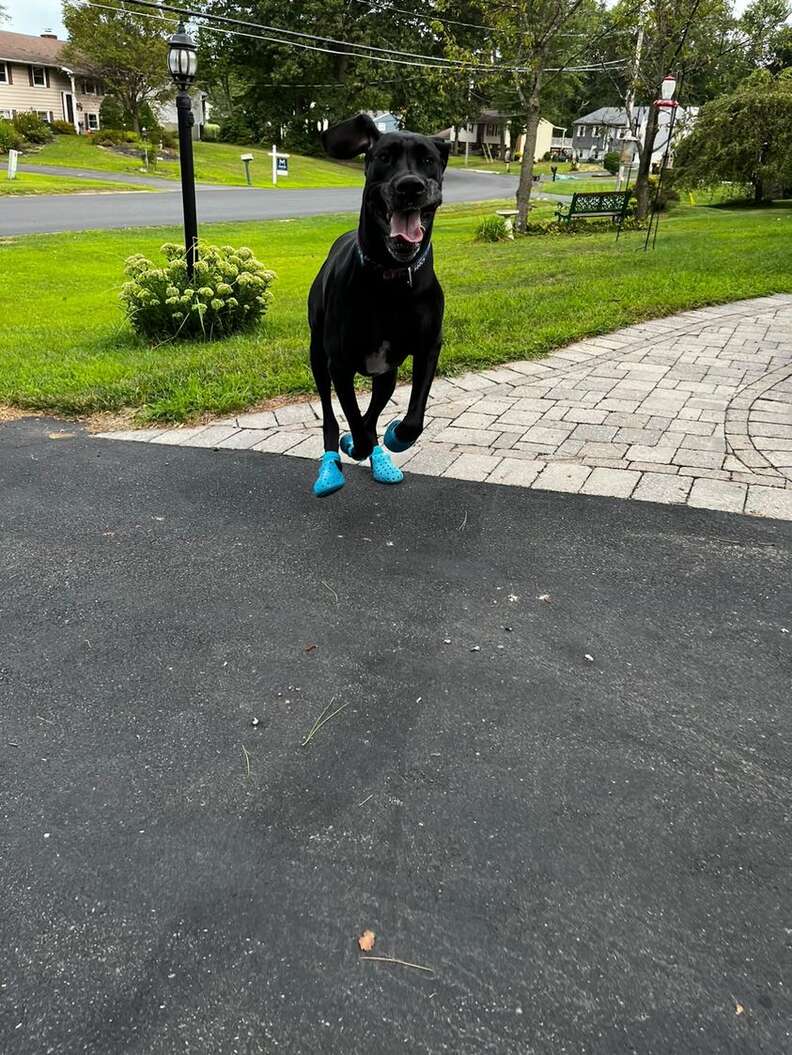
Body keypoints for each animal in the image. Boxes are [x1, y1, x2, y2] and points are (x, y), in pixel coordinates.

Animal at [307, 113, 449, 495]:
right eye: (384, 157)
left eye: (428, 160)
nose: (410, 187)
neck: (391, 279)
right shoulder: (339, 362)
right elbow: (355, 423)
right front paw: (354, 444)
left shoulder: (429, 345)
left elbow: (412, 418)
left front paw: (396, 436)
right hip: (318, 356)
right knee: (331, 415)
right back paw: (333, 461)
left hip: (386, 372)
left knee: (373, 411)